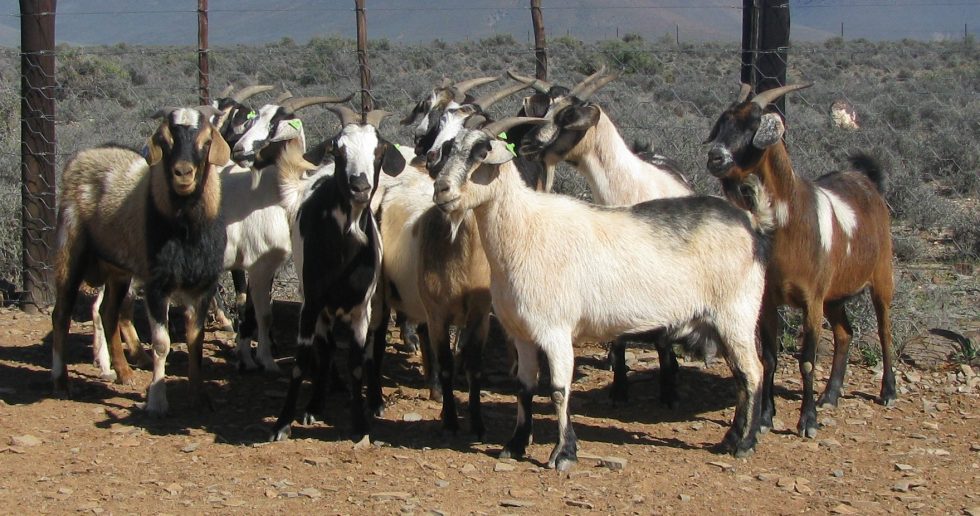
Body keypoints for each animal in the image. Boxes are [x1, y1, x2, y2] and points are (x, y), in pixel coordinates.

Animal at [52, 106, 229, 415]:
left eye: (206, 141)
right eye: (165, 141)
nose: (183, 173)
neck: (186, 230)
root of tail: (79, 157)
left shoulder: (202, 287)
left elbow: (195, 341)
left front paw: (199, 396)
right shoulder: (157, 286)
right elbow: (162, 343)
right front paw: (157, 401)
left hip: (118, 272)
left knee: (109, 312)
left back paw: (124, 372)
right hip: (70, 251)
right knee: (61, 314)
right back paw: (61, 382)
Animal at [271, 106, 406, 442]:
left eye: (379, 151)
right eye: (339, 148)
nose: (360, 187)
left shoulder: (360, 308)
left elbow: (357, 362)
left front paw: (360, 424)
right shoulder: (312, 303)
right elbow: (303, 360)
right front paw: (283, 422)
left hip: (377, 301)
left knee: (375, 346)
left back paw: (375, 400)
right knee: (326, 347)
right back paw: (317, 402)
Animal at [430, 118, 771, 470]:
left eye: (482, 153)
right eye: (449, 148)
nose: (440, 190)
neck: (525, 229)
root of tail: (751, 223)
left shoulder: (555, 330)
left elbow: (558, 390)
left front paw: (564, 453)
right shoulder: (521, 333)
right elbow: (524, 387)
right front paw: (515, 445)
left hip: (737, 312)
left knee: (753, 372)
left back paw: (744, 443)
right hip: (722, 320)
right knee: (741, 375)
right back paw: (731, 439)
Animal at [705, 83, 896, 439]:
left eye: (753, 125)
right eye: (722, 123)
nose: (715, 157)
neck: (789, 223)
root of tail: (867, 181)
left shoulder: (811, 301)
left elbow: (807, 360)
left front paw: (807, 422)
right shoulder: (769, 300)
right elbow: (769, 357)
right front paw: (765, 417)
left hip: (881, 278)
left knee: (884, 330)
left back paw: (888, 392)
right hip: (835, 296)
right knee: (845, 333)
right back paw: (830, 395)